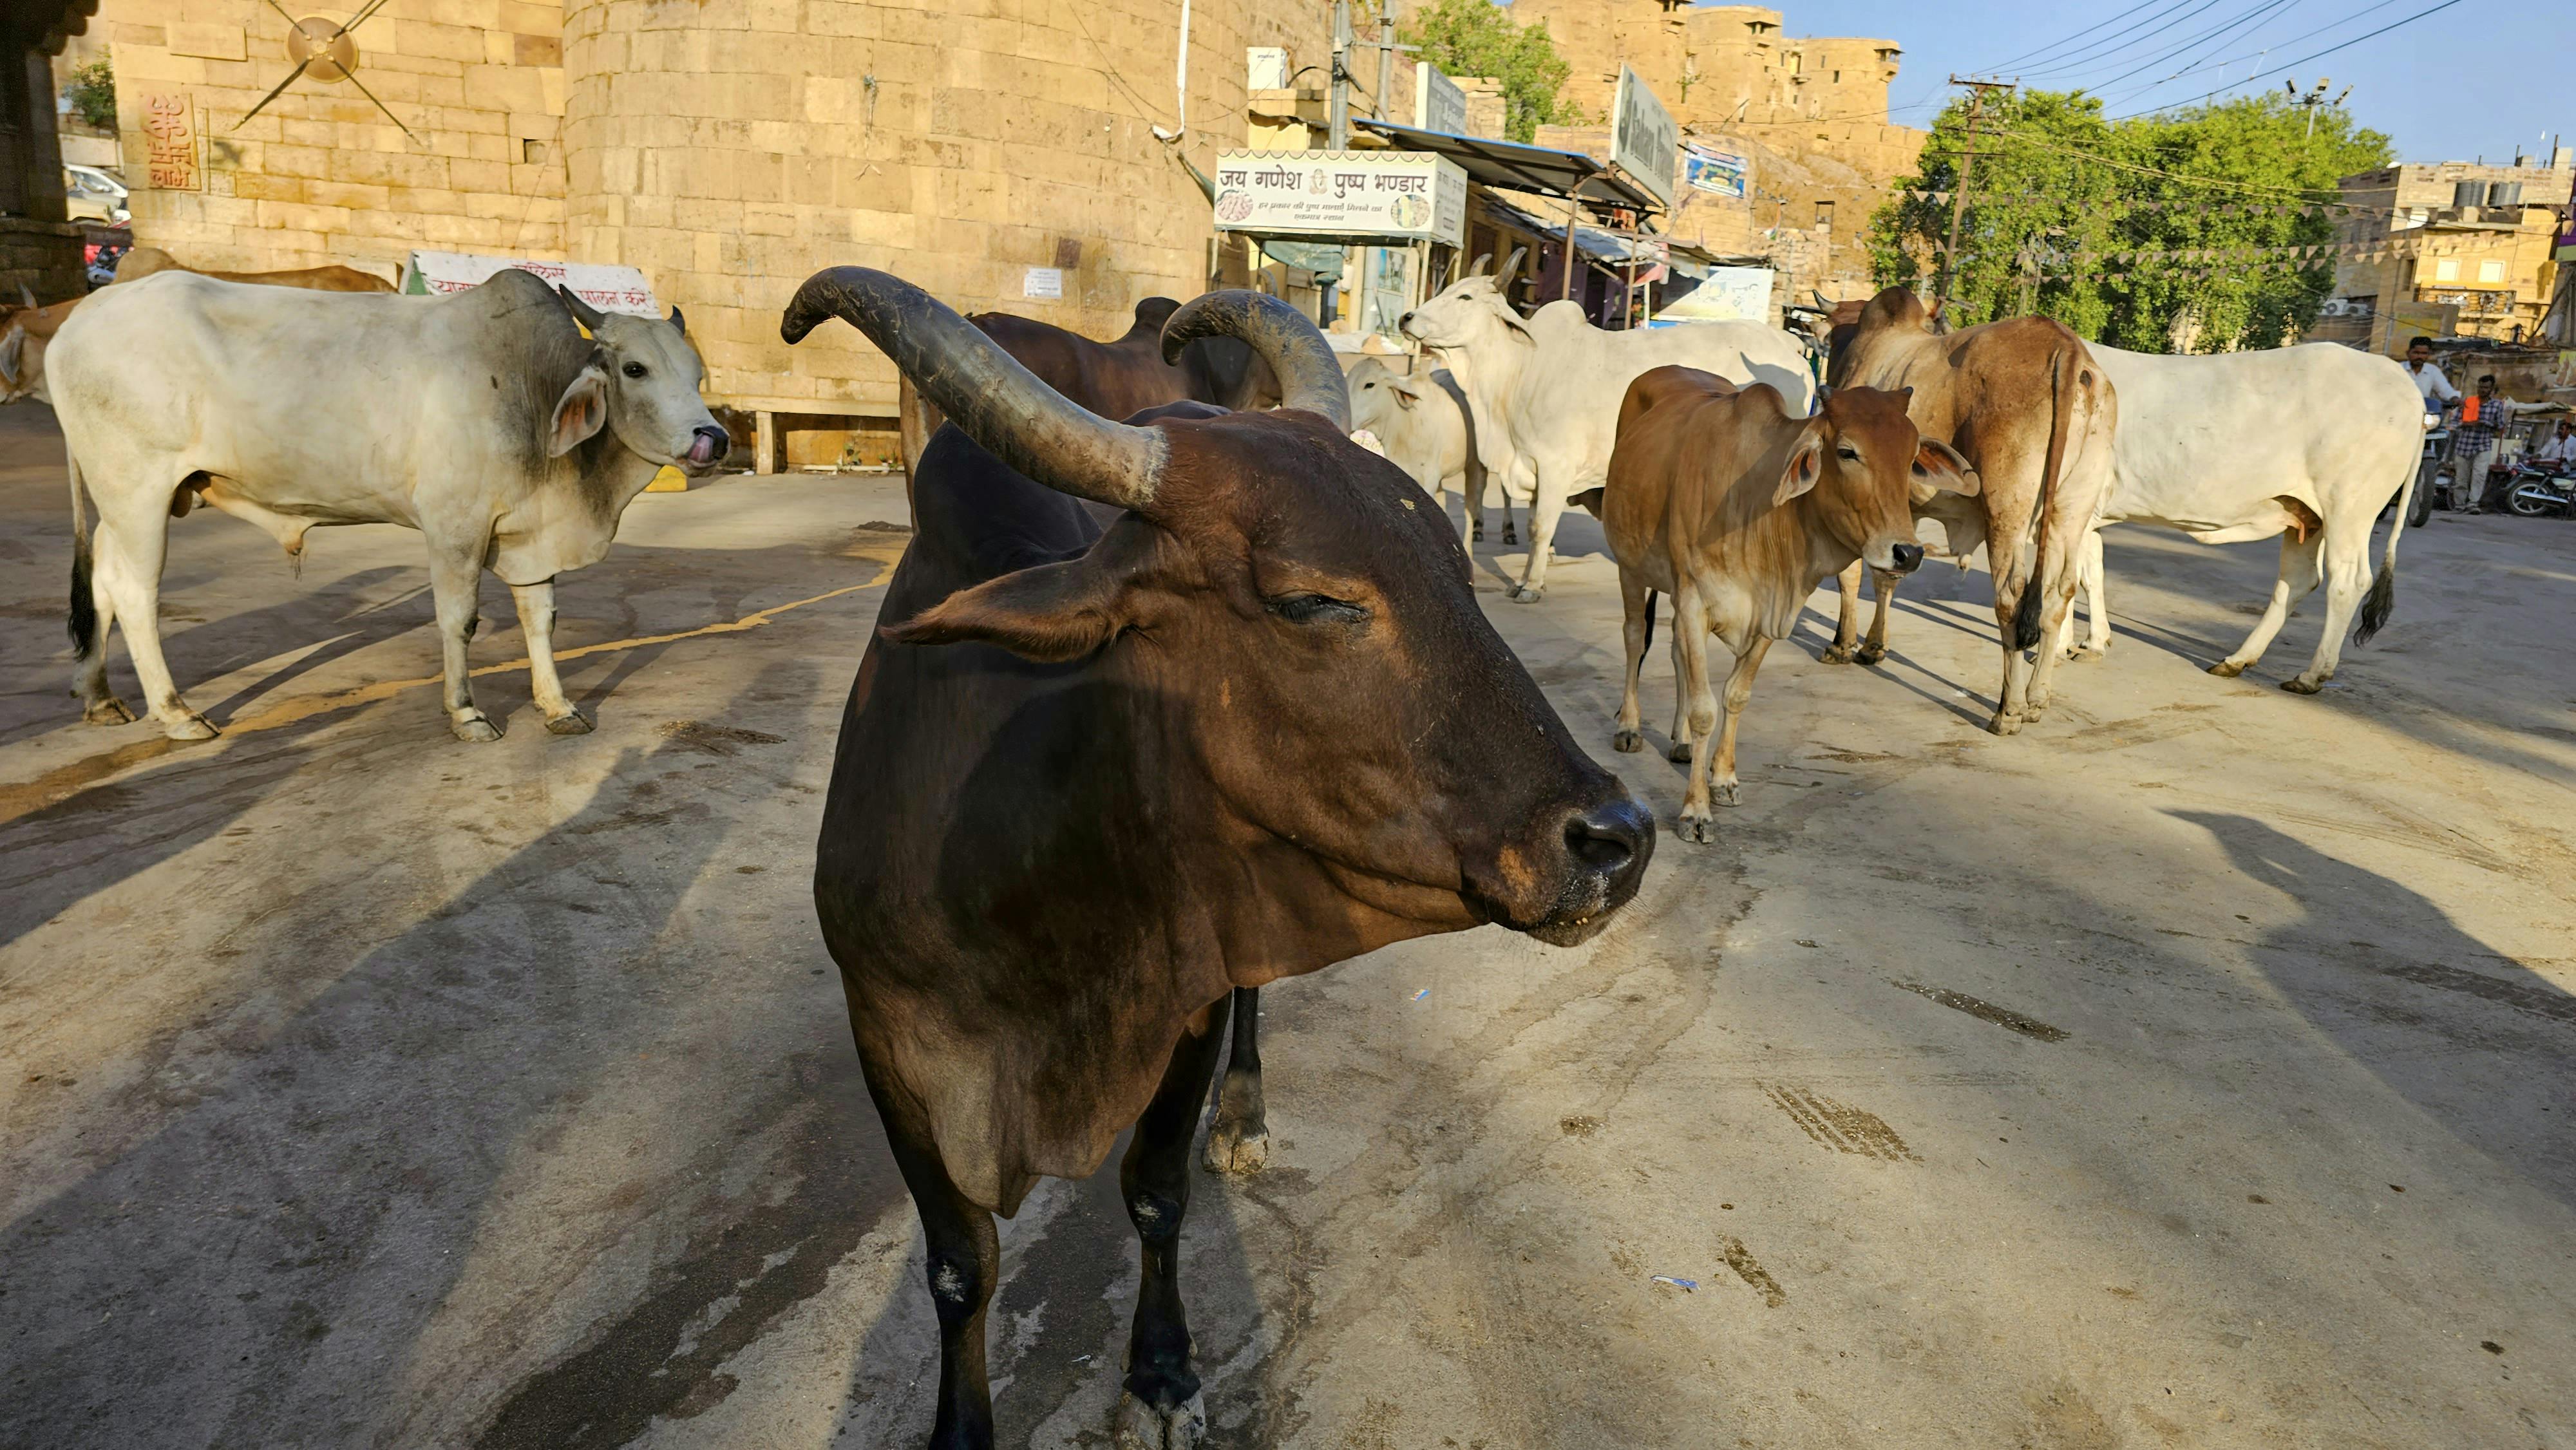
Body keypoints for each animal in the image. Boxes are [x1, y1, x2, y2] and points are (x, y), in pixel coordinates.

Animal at [45, 268, 728, 741]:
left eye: (696, 375)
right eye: (635, 369)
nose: (713, 439)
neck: (530, 385)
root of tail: (81, 317)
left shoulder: (527, 535)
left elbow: (541, 621)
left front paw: (558, 706)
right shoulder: (455, 527)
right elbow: (460, 621)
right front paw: (467, 713)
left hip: (126, 499)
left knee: (103, 578)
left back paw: (100, 696)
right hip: (138, 490)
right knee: (135, 592)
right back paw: (176, 713)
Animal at [1398, 274, 1814, 602]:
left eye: (1466, 297)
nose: (1407, 317)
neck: (1520, 370)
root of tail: (1789, 344)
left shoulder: (1555, 465)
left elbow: (1541, 527)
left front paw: (1530, 586)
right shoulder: (1532, 464)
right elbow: (1535, 522)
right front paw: (1529, 578)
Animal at [1584, 367, 1975, 838]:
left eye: (1912, 456)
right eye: (1847, 452)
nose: (1909, 553)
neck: (1758, 509)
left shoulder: (1773, 612)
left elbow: (1736, 695)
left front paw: (1723, 779)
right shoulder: (1695, 601)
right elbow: (1704, 709)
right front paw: (1695, 810)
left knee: (1676, 653)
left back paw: (1680, 743)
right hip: (1630, 565)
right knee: (1633, 637)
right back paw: (1629, 726)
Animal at [1822, 288, 2116, 736]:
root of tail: (2067, 349)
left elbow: (1852, 574)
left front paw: (1843, 644)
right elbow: (1888, 576)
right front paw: (1872, 646)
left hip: (2006, 511)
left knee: (2010, 598)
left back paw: (2008, 710)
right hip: (2071, 510)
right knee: (2060, 593)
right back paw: (2037, 698)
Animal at [2046, 341, 2419, 692]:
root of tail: (2399, 378)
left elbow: (2067, 576)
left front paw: (2058, 646)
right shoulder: (2089, 513)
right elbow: (2091, 574)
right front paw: (2093, 643)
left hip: (2348, 508)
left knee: (2348, 582)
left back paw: (2312, 676)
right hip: (2310, 517)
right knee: (2297, 581)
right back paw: (2238, 659)